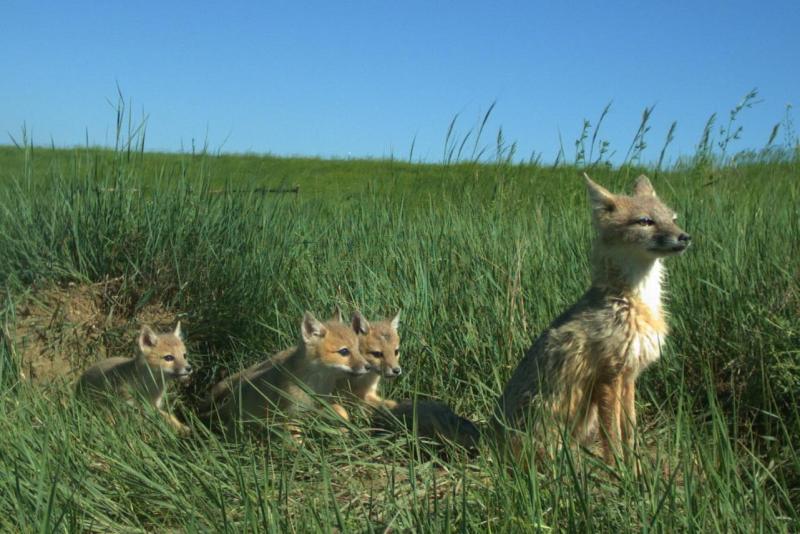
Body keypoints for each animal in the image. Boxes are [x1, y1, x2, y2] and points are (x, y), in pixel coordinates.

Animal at [207, 311, 371, 436]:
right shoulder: (290, 415)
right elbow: (295, 439)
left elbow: (339, 410)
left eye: (358, 349)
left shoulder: (316, 406)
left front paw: (344, 427)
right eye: (344, 352)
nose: (369, 367)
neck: (314, 384)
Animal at [495, 174, 691, 465]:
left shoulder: (629, 377)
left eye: (673, 218)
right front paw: (618, 471)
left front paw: (636, 469)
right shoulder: (608, 377)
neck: (635, 301)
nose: (685, 237)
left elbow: (630, 433)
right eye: (645, 221)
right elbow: (613, 437)